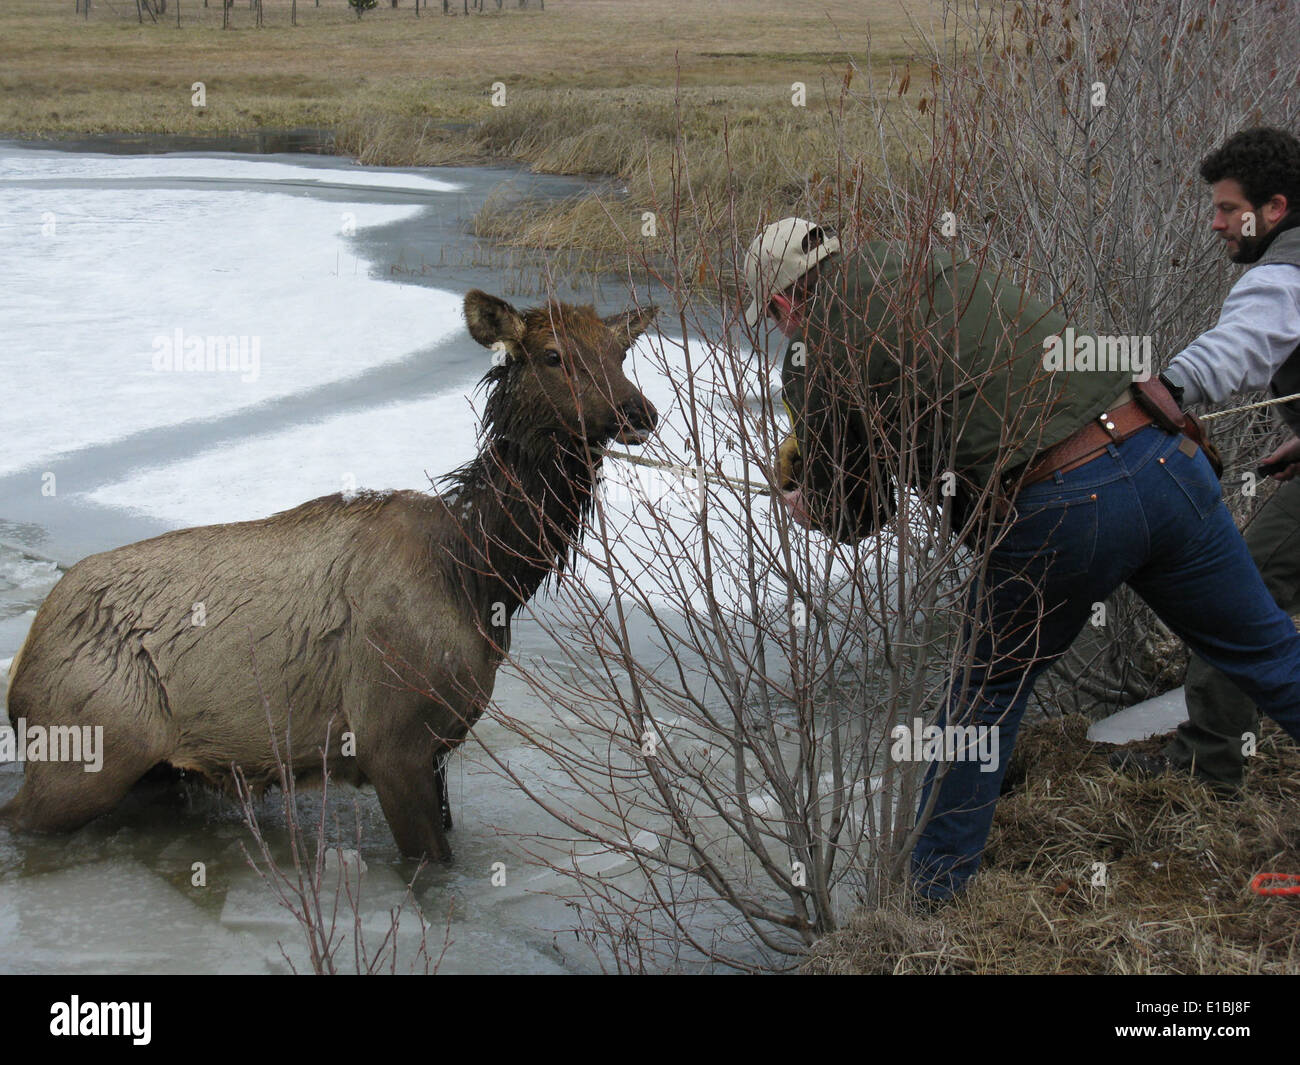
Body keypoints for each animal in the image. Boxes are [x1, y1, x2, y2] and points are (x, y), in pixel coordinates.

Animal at [1, 289, 659, 863]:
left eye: (619, 351)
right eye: (552, 354)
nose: (639, 411)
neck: (480, 579)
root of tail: (21, 668)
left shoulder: (437, 746)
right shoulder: (388, 738)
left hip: (156, 773)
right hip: (85, 749)